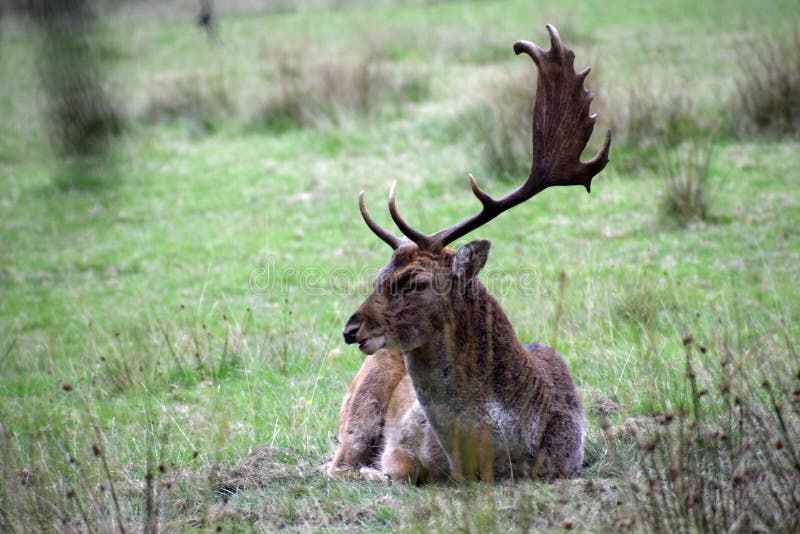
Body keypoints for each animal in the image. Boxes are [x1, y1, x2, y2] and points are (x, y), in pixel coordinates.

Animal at [329, 24, 611, 483]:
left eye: (415, 281)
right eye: (377, 277)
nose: (352, 329)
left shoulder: (565, 462)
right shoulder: (399, 451)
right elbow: (399, 471)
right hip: (359, 401)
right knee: (336, 463)